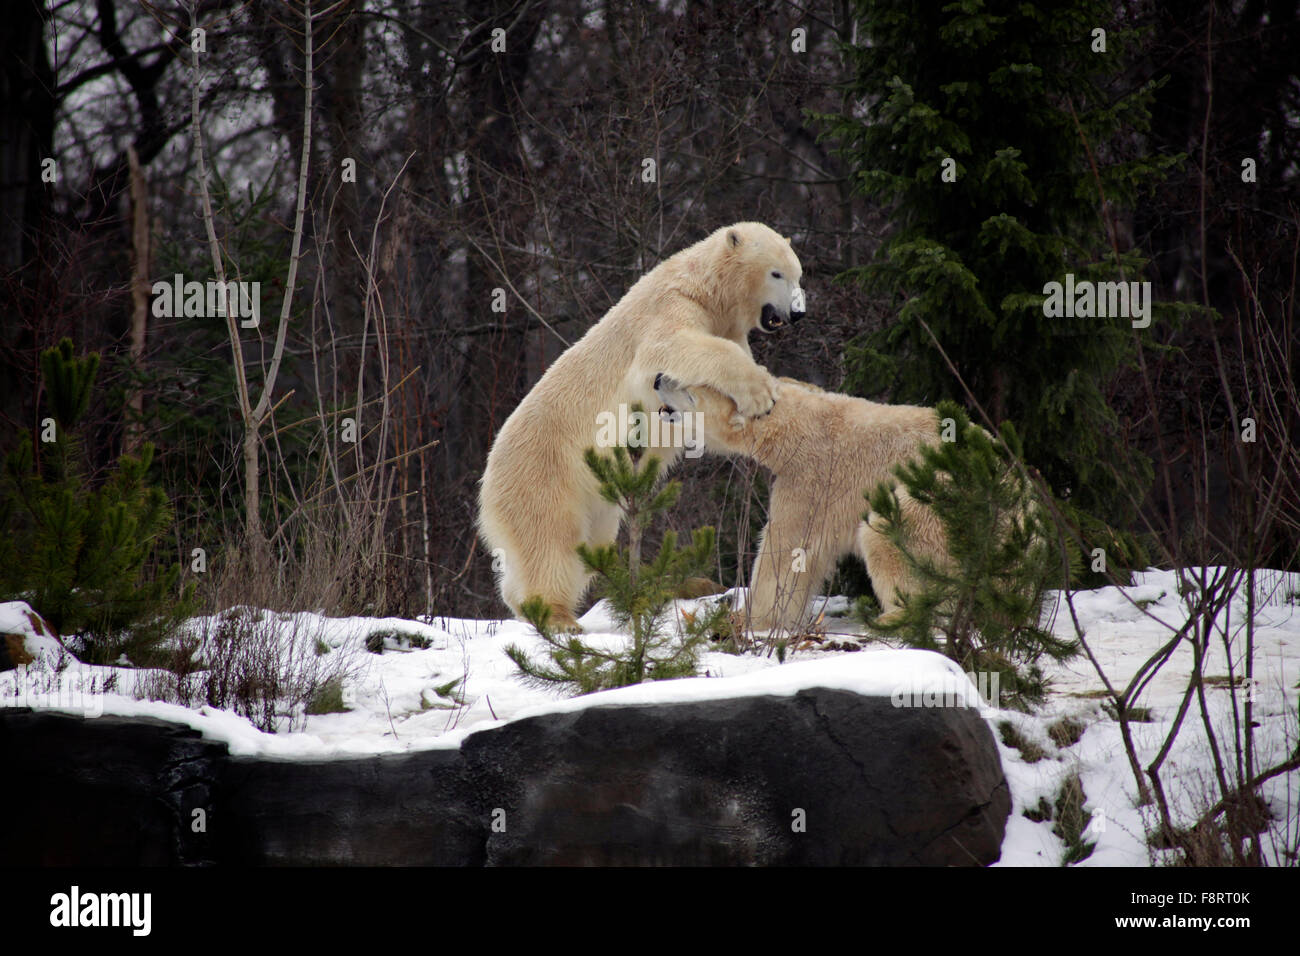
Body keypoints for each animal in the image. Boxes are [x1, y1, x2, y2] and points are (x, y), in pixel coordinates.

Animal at [478, 222, 806, 630]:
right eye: (776, 273)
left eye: (798, 274)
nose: (797, 313)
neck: (705, 289)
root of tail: (487, 478)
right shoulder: (670, 309)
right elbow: (670, 350)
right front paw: (761, 393)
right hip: (544, 474)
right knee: (552, 540)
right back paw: (556, 614)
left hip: (597, 498)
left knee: (591, 542)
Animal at [652, 373, 956, 636]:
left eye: (690, 393)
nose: (659, 378)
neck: (792, 427)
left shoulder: (811, 478)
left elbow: (785, 548)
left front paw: (747, 619)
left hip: (932, 498)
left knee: (886, 532)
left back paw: (896, 618)